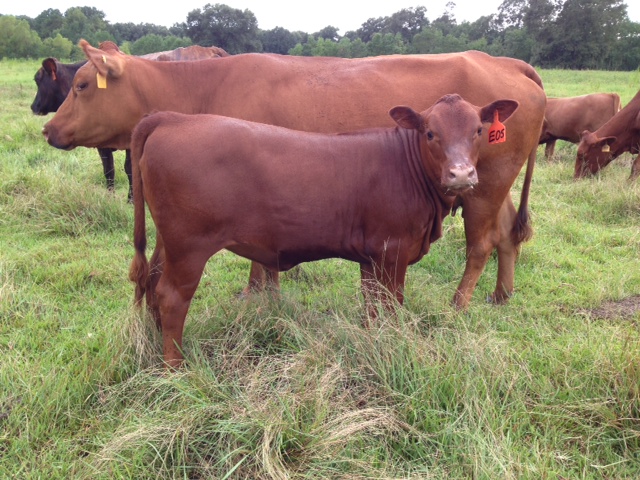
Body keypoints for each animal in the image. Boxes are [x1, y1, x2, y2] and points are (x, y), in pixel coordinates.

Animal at [129, 96, 520, 366]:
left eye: (478, 131)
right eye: (430, 133)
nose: (461, 174)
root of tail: (172, 118)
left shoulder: (372, 257)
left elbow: (372, 307)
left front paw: (372, 344)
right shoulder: (393, 251)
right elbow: (392, 305)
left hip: (168, 242)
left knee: (152, 281)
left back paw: (152, 343)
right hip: (189, 246)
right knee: (172, 296)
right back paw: (175, 368)